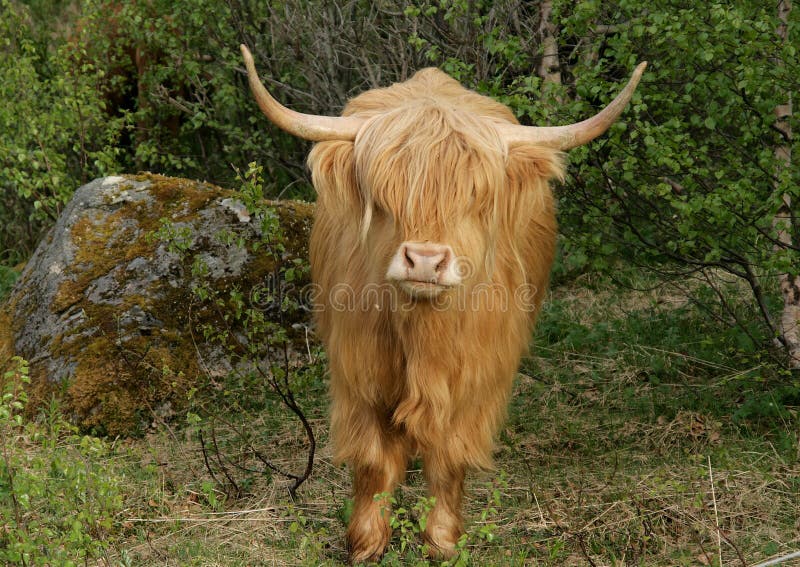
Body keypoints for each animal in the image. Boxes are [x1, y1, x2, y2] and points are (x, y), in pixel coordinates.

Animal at [241, 44, 645, 562]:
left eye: (474, 199)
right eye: (385, 198)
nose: (425, 260)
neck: (422, 336)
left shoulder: (479, 378)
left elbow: (450, 458)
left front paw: (442, 542)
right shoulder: (359, 372)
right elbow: (373, 461)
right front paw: (366, 544)